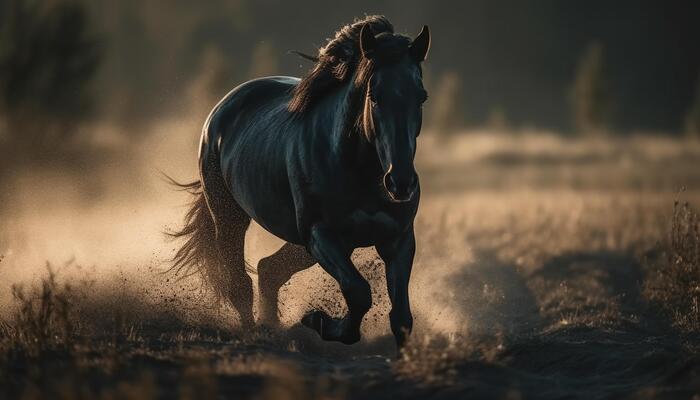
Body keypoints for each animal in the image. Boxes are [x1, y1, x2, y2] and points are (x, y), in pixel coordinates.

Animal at [170, 15, 430, 350]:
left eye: (421, 96)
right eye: (374, 96)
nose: (400, 183)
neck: (360, 172)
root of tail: (220, 111)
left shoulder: (398, 240)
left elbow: (401, 318)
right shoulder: (322, 236)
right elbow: (358, 293)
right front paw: (316, 320)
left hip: (302, 245)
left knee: (269, 270)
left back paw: (273, 327)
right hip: (230, 218)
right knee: (240, 284)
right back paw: (256, 333)